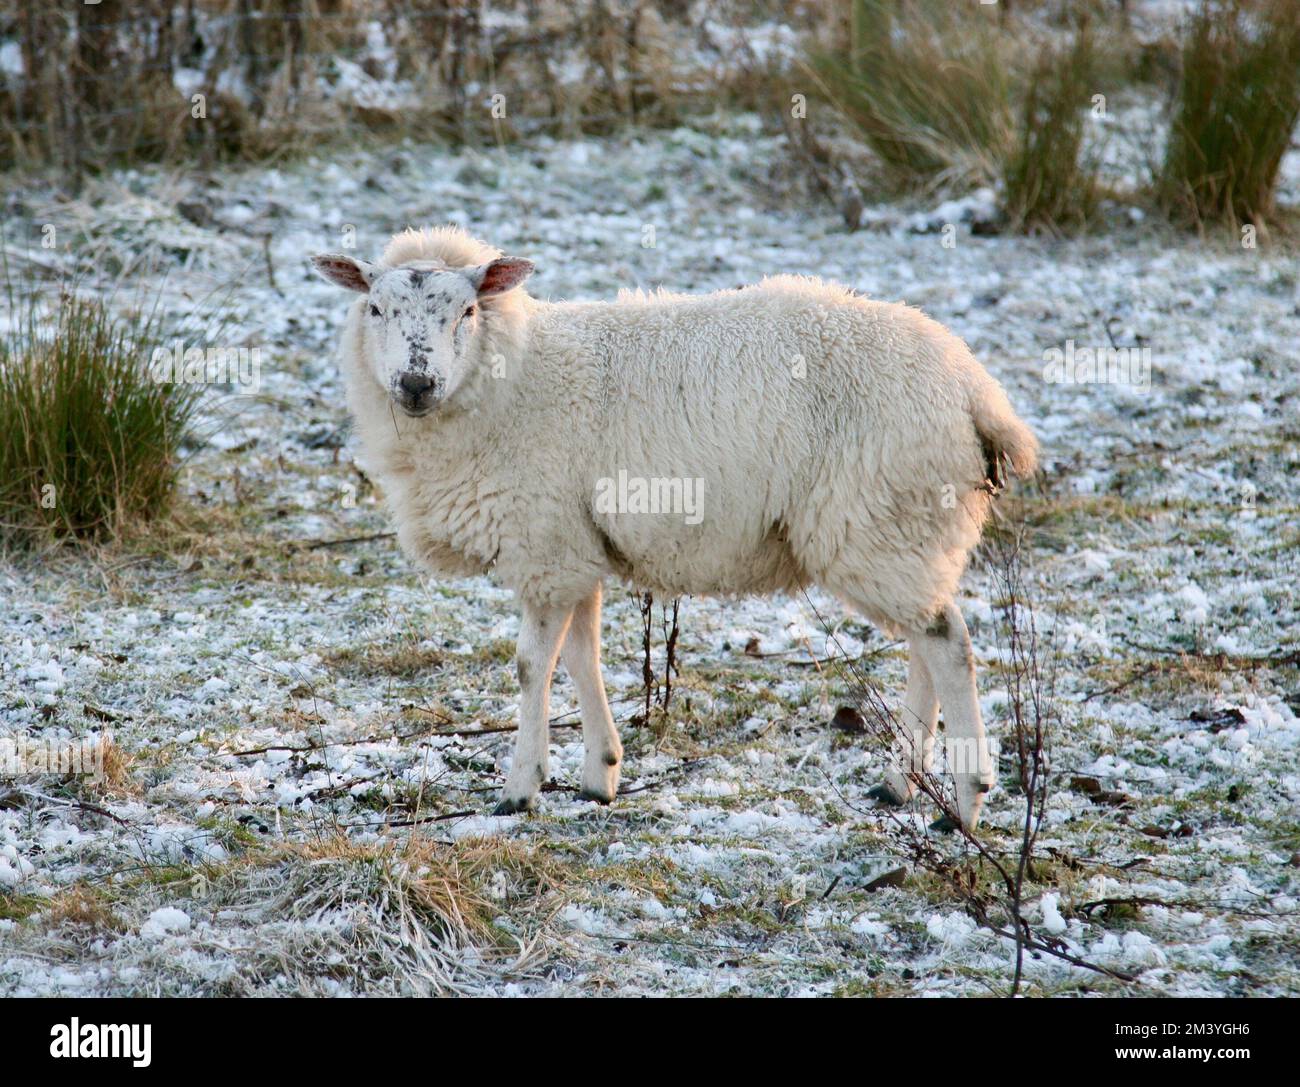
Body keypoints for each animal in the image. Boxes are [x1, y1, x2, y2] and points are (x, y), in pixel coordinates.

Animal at [312, 225, 1038, 831]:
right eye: (374, 310)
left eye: (466, 311)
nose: (416, 383)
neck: (513, 378)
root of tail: (976, 389)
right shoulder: (574, 547)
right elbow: (581, 657)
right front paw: (599, 775)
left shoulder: (544, 546)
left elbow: (530, 666)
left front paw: (520, 787)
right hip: (906, 527)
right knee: (927, 641)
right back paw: (898, 782)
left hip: (878, 519)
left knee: (949, 644)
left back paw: (965, 801)